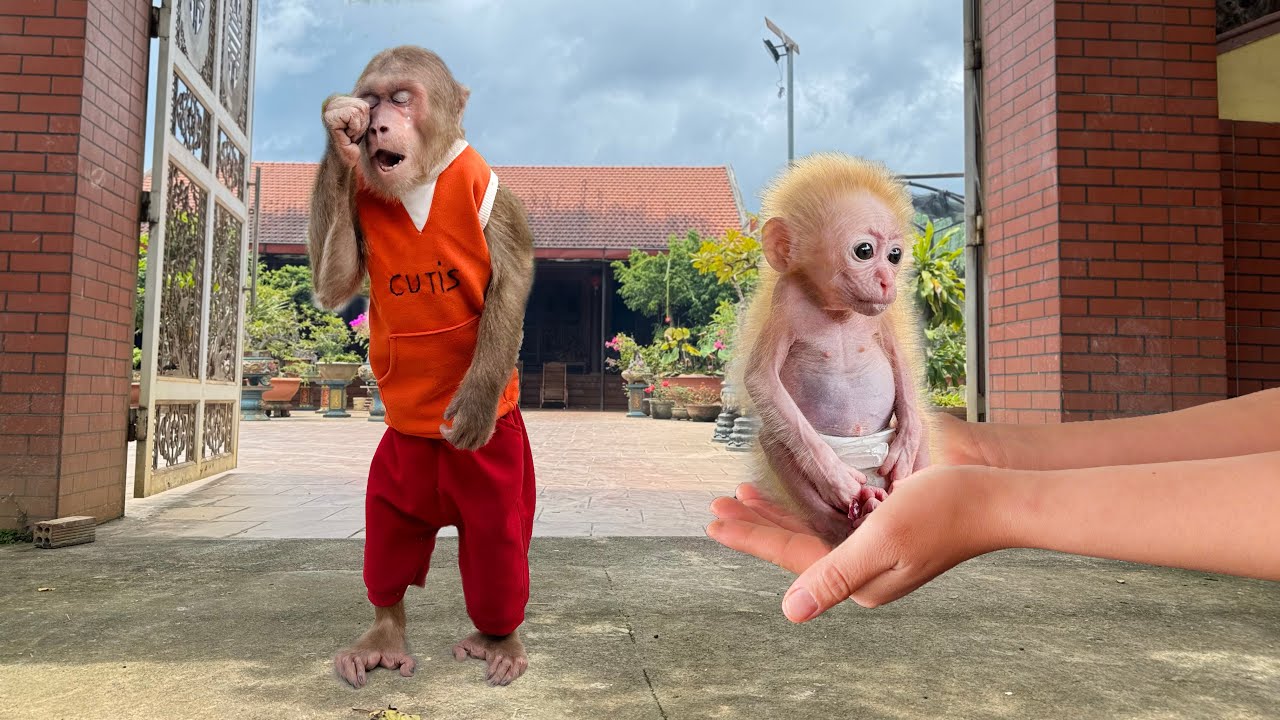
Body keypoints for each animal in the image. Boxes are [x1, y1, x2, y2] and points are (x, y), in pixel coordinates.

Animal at [307, 46, 536, 688]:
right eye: (373, 98)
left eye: (402, 98)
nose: (376, 125)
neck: (421, 180)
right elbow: (335, 284)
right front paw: (339, 128)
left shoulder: (499, 200)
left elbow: (509, 283)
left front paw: (474, 406)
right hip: (405, 462)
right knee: (390, 527)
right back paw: (383, 631)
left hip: (494, 473)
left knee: (495, 548)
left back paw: (497, 638)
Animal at [729, 153, 936, 546]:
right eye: (864, 251)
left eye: (895, 256)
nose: (886, 281)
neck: (836, 309)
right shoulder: (786, 297)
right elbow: (761, 378)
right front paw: (835, 481)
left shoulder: (883, 315)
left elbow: (899, 359)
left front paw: (904, 450)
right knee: (774, 438)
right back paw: (843, 520)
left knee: (921, 432)